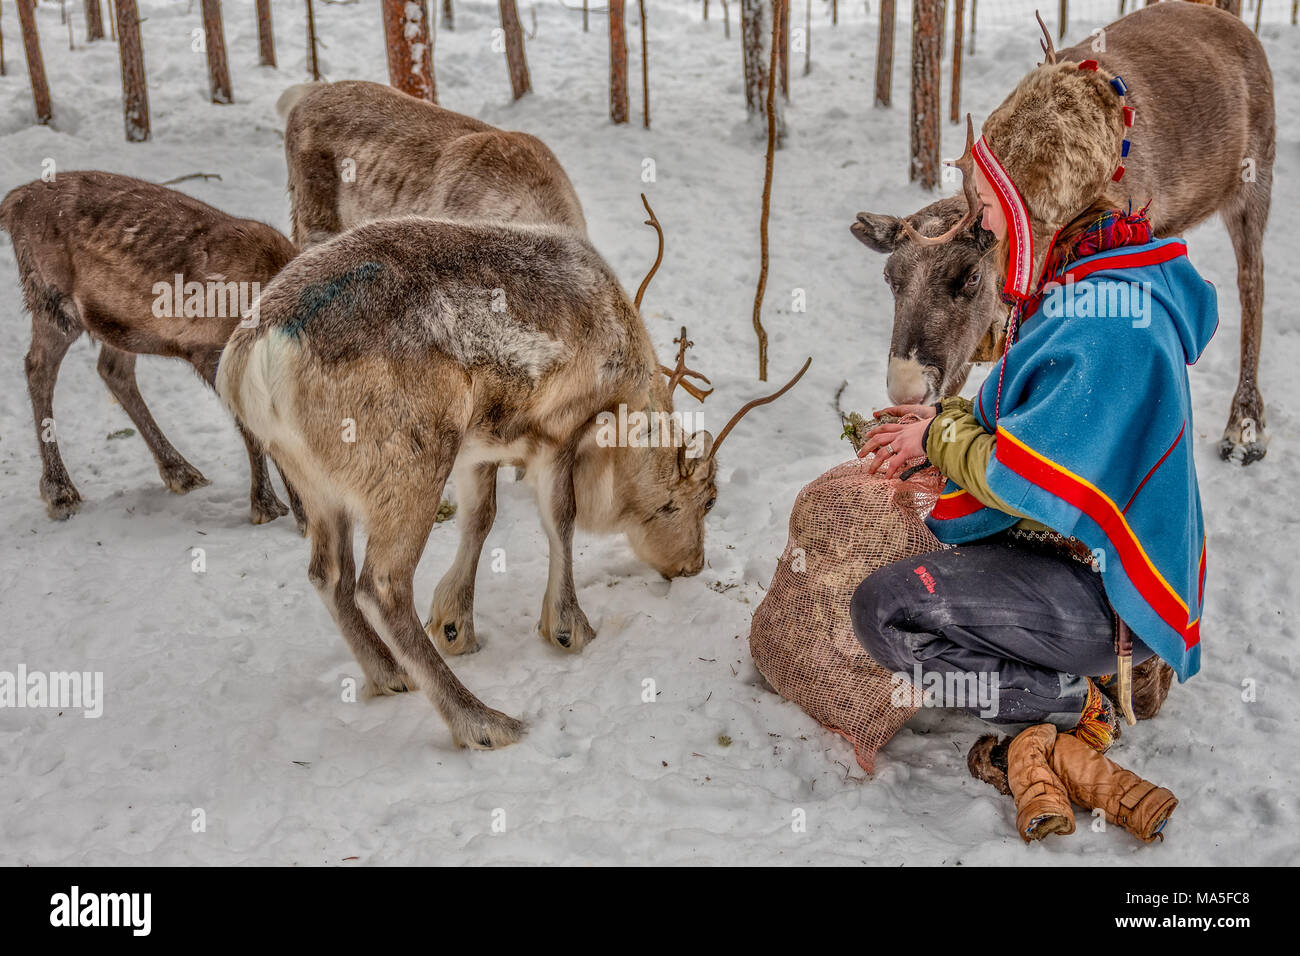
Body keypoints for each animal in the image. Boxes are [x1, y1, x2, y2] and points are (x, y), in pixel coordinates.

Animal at [0, 171, 304, 524]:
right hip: (52, 301)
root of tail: (13, 203)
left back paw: (180, 470)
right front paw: (276, 508)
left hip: (118, 322)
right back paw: (60, 492)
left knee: (112, 369)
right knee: (38, 368)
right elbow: (257, 430)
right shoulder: (213, 352)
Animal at [215, 202, 809, 751]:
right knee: (381, 583)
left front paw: (455, 623)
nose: (691, 565)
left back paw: (390, 675)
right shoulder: (558, 433)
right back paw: (483, 722)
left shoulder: (479, 450)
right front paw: (568, 628)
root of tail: (257, 353)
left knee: (328, 573)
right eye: (706, 500)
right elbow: (560, 521)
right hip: (411, 467)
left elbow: (481, 517)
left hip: (317, 484)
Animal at [851, 2, 1274, 463]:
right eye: (889, 277)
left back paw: (1245, 426)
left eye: (972, 276)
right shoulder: (967, 348)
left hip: (1254, 185)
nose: (906, 388)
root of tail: (1241, 29)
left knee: (1252, 285)